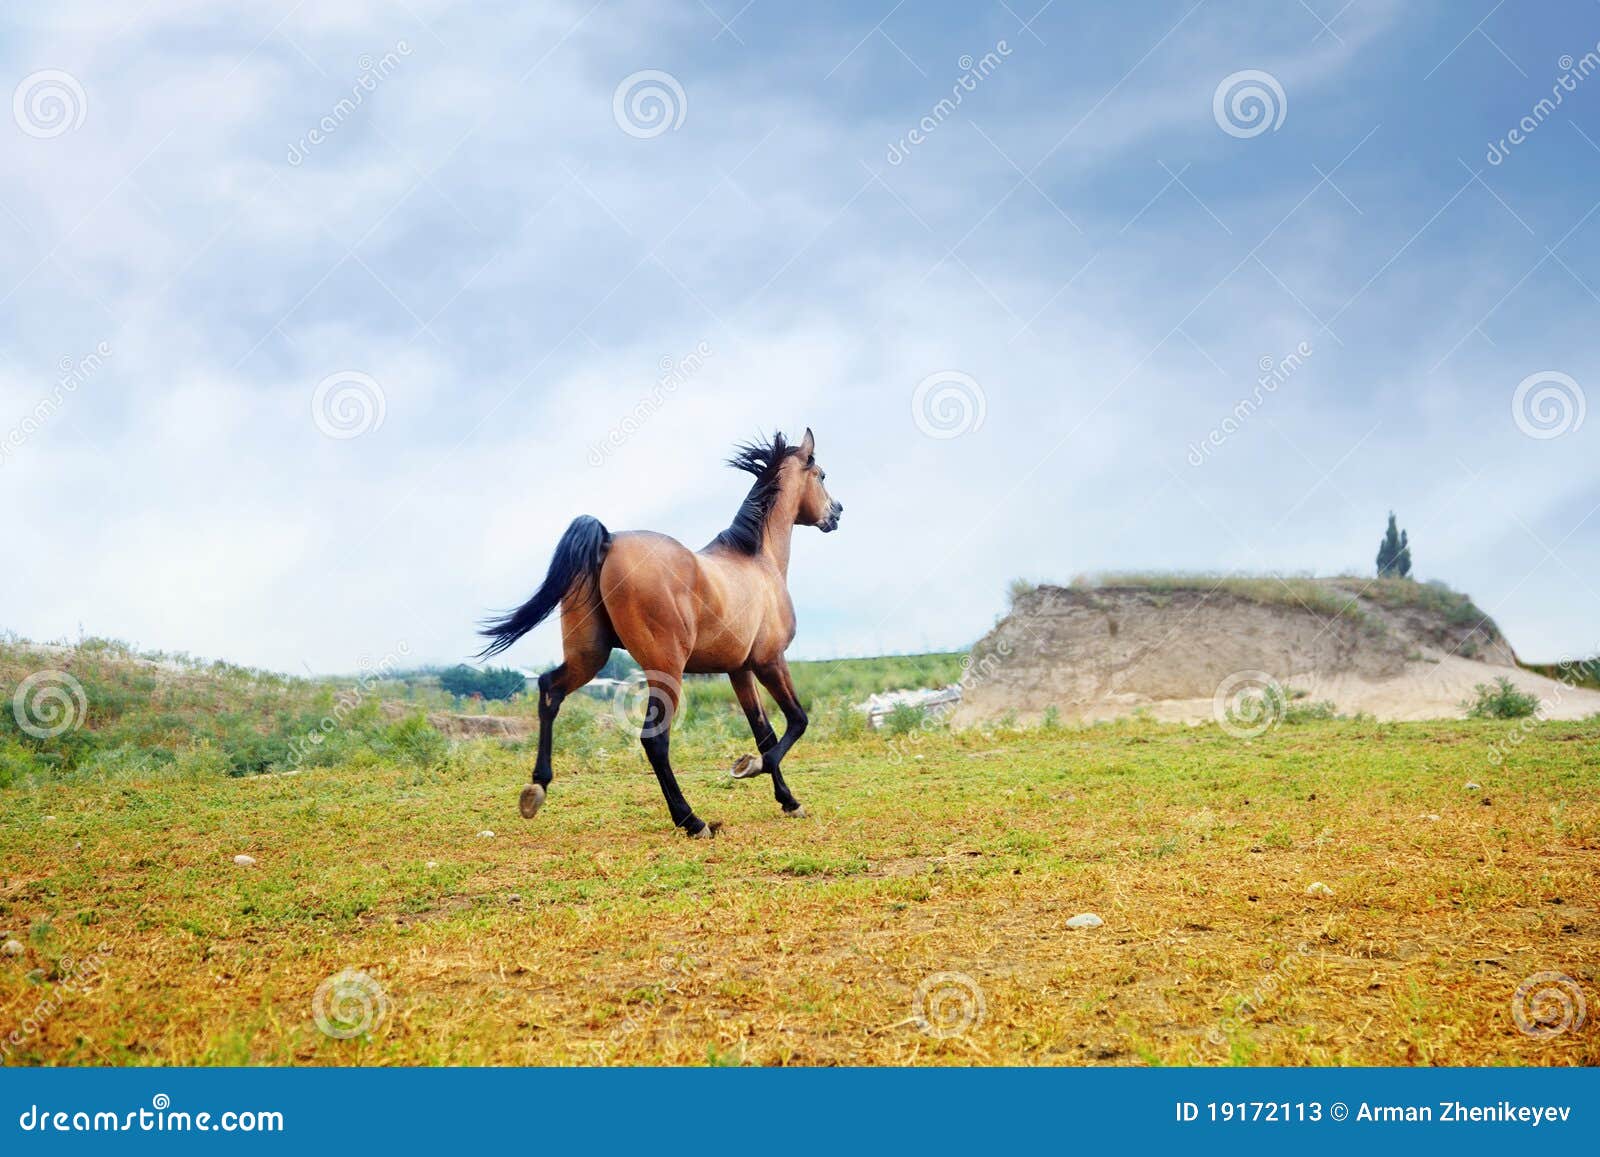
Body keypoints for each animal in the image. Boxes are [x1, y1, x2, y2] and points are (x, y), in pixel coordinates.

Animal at [477, 428, 843, 838]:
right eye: (822, 475)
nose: (837, 512)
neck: (757, 560)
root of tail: (607, 540)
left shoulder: (739, 669)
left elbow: (763, 731)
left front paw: (788, 800)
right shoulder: (770, 660)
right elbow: (797, 720)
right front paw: (750, 767)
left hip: (589, 656)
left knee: (549, 690)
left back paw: (536, 790)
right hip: (666, 668)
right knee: (655, 740)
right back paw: (692, 820)